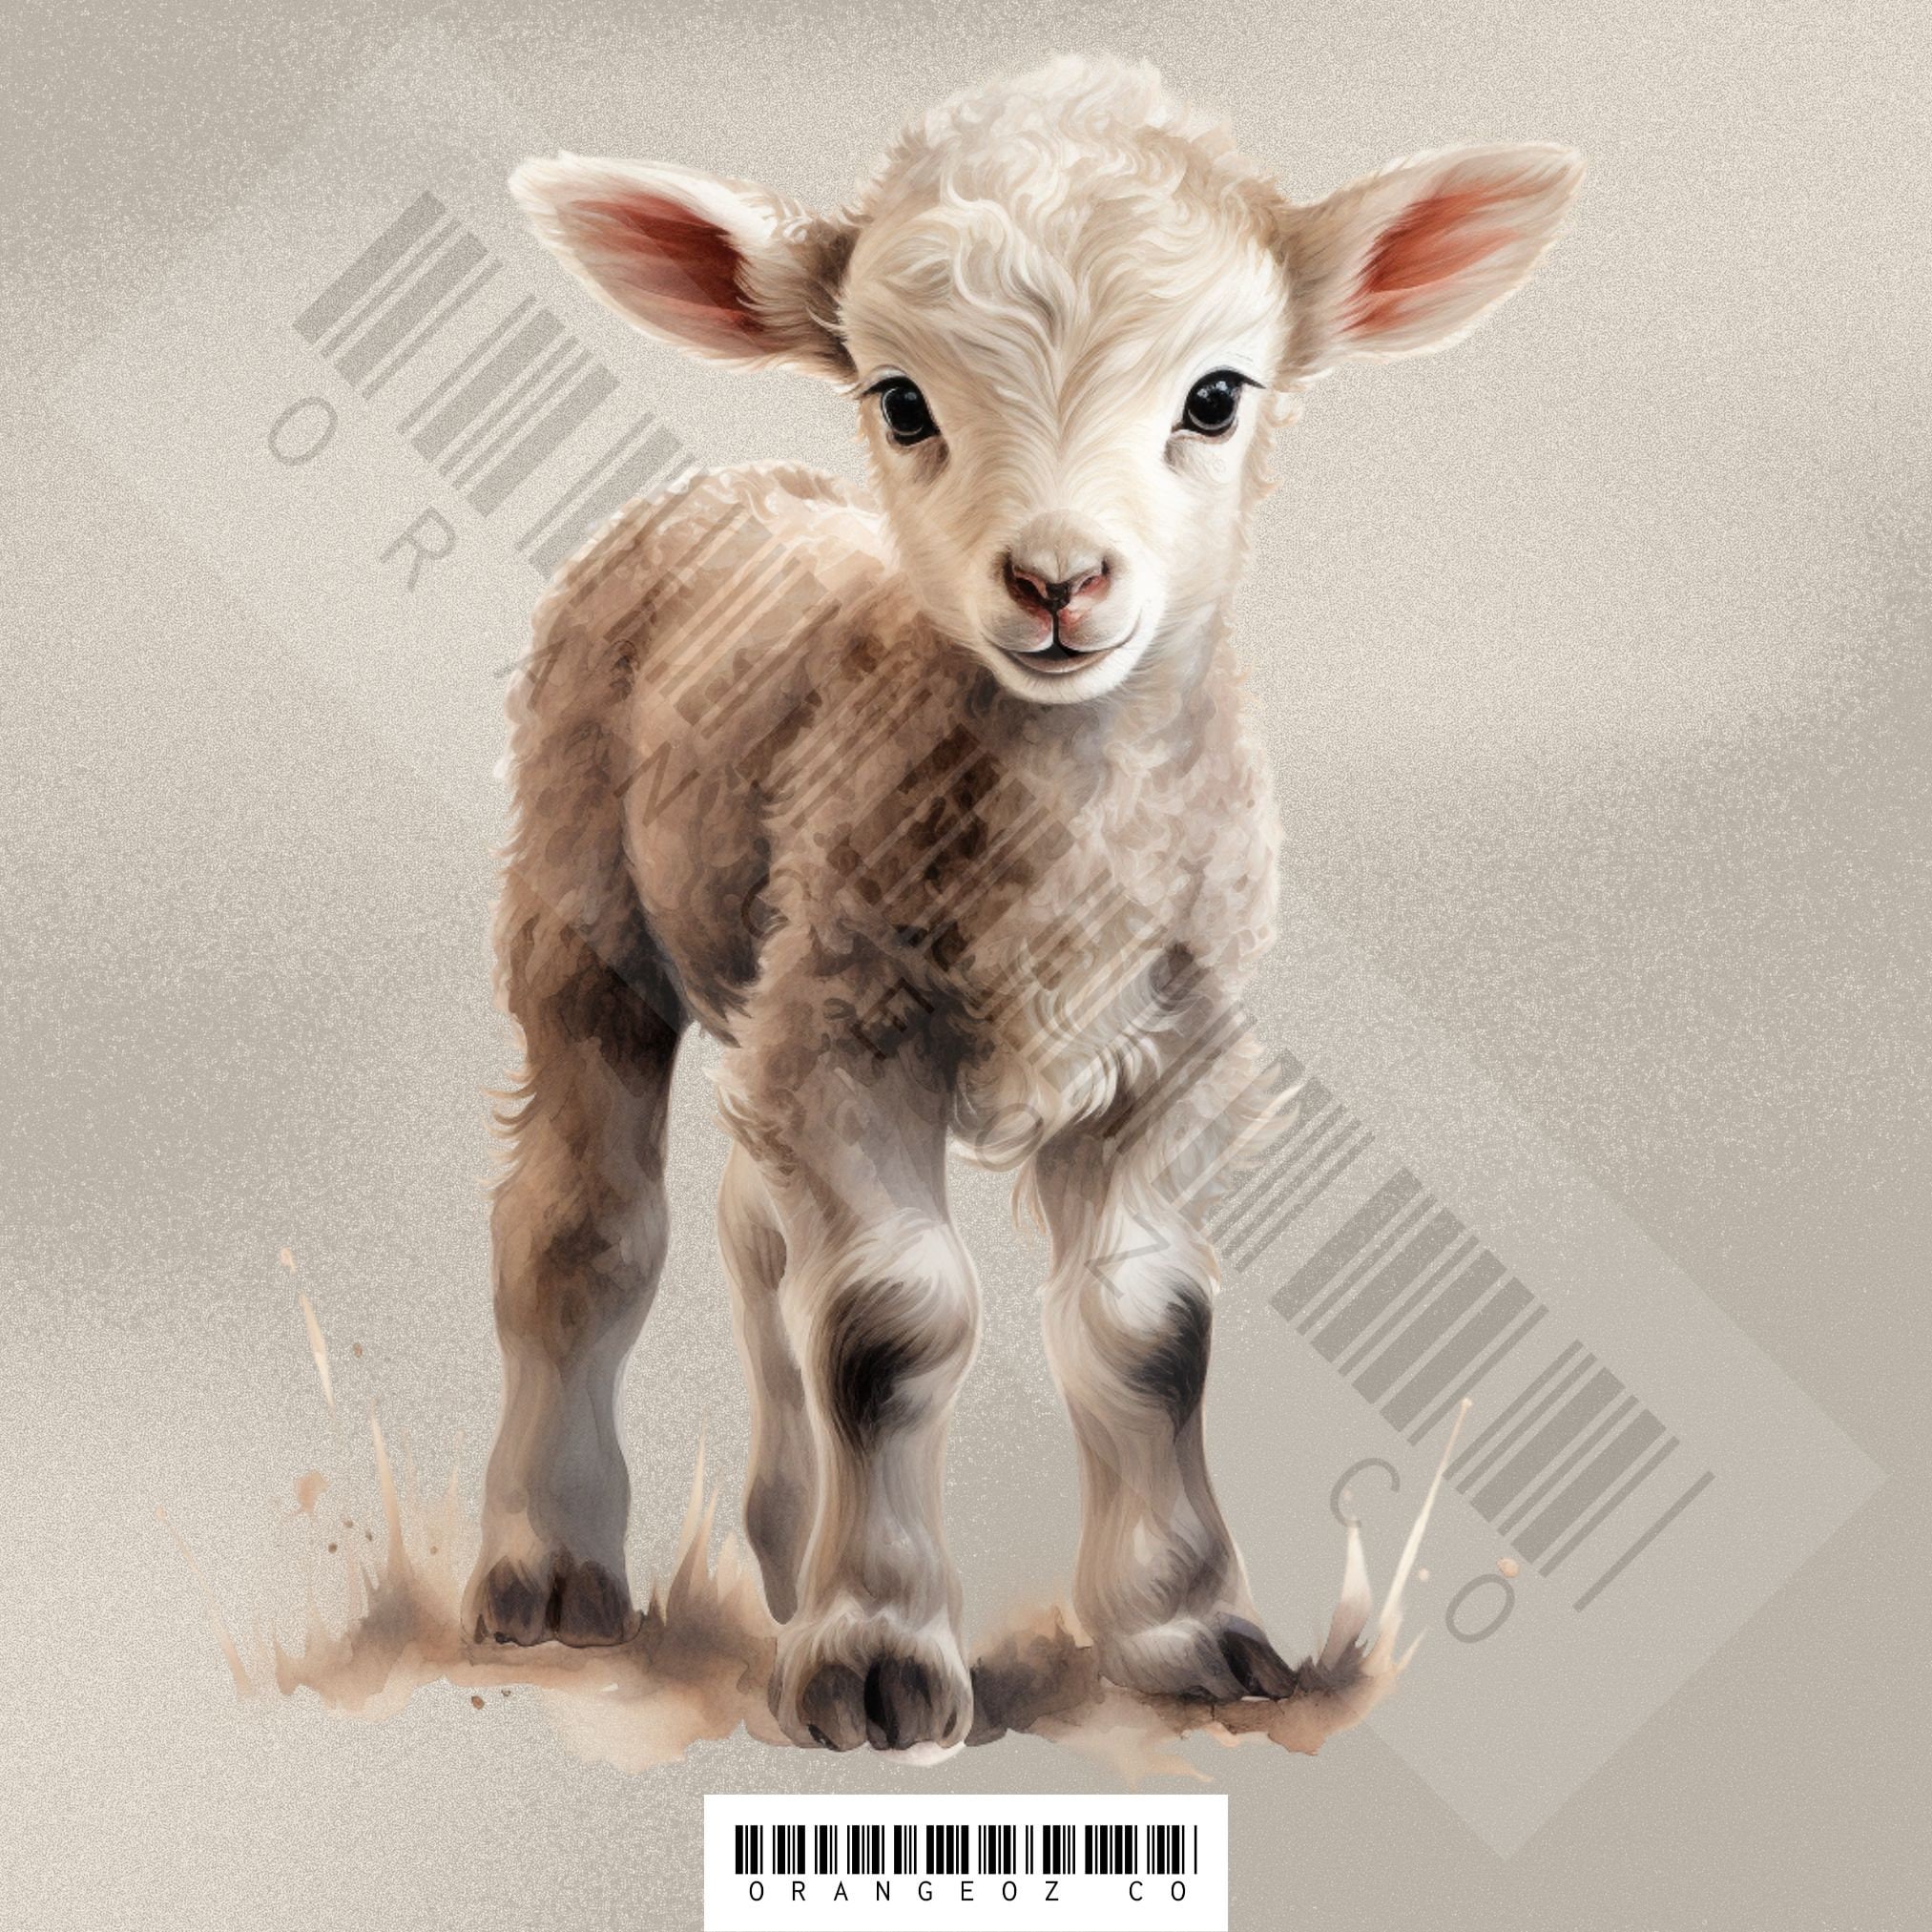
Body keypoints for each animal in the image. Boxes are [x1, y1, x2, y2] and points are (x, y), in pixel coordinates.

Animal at [462, 54, 1582, 1755]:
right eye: (901, 399)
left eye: (1217, 396)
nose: (1058, 582)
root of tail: (730, 483)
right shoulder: (857, 1027)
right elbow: (889, 1327)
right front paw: (873, 1652)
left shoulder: (1165, 1054)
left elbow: (1150, 1333)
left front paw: (1187, 1633)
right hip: (586, 911)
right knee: (583, 1230)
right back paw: (547, 1563)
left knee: (753, 1231)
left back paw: (782, 1543)